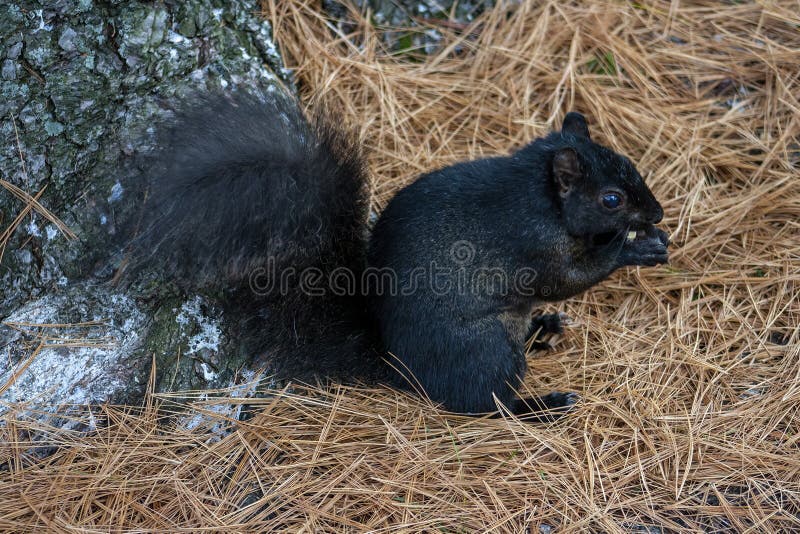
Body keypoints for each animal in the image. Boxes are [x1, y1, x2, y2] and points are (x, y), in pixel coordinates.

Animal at [125, 91, 669, 420]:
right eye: (611, 199)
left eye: (630, 163)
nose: (658, 212)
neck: (540, 194)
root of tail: (401, 367)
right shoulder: (535, 242)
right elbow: (569, 277)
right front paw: (632, 246)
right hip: (487, 345)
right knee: (485, 403)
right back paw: (543, 402)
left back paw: (545, 328)